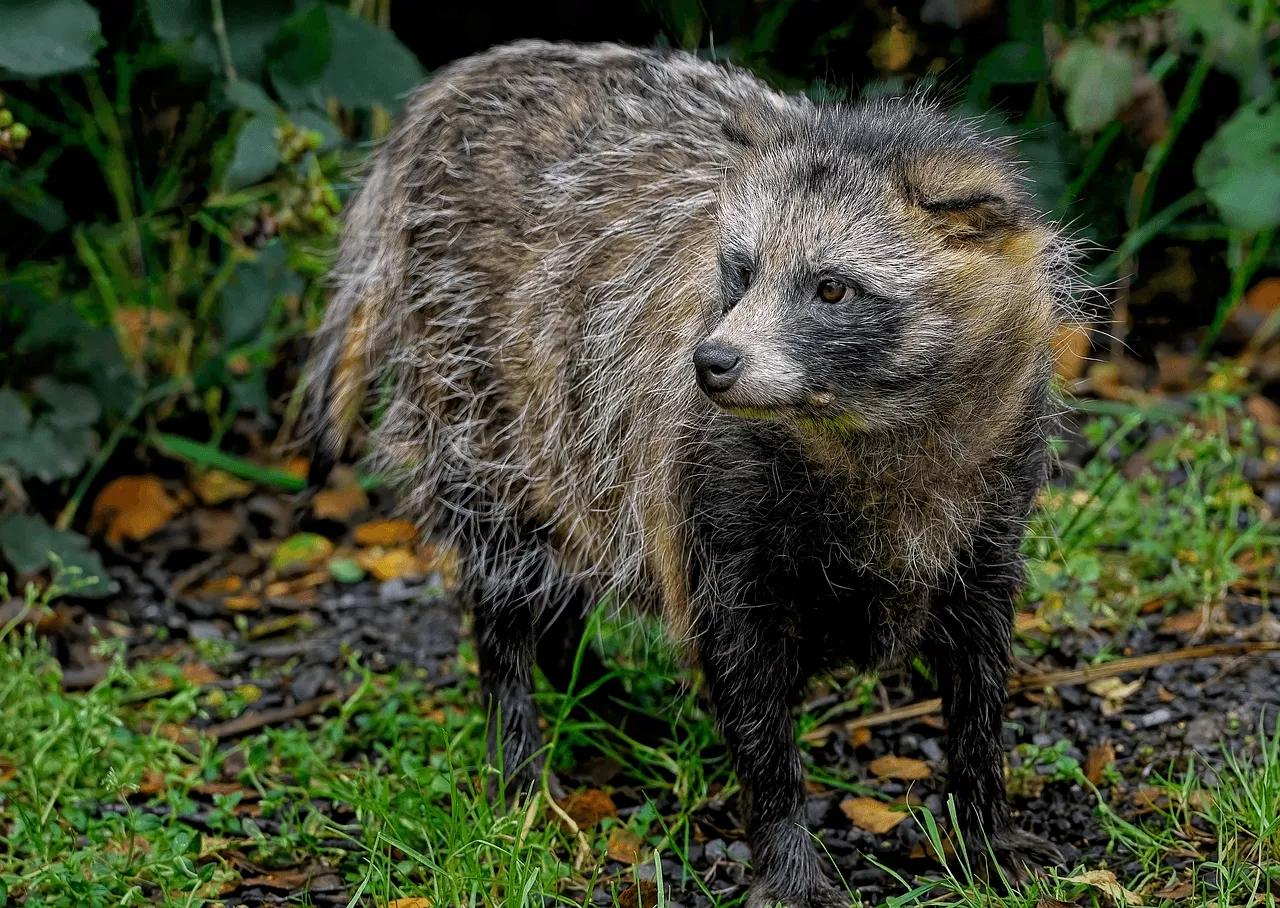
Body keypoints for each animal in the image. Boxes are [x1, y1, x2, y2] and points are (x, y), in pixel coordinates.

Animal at [306, 39, 1082, 907]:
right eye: (740, 271)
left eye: (832, 287)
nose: (713, 362)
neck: (867, 428)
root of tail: (452, 89)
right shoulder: (716, 490)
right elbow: (744, 675)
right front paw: (786, 850)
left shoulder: (992, 484)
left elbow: (980, 670)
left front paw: (985, 820)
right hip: (475, 373)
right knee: (506, 567)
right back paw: (521, 748)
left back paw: (590, 689)